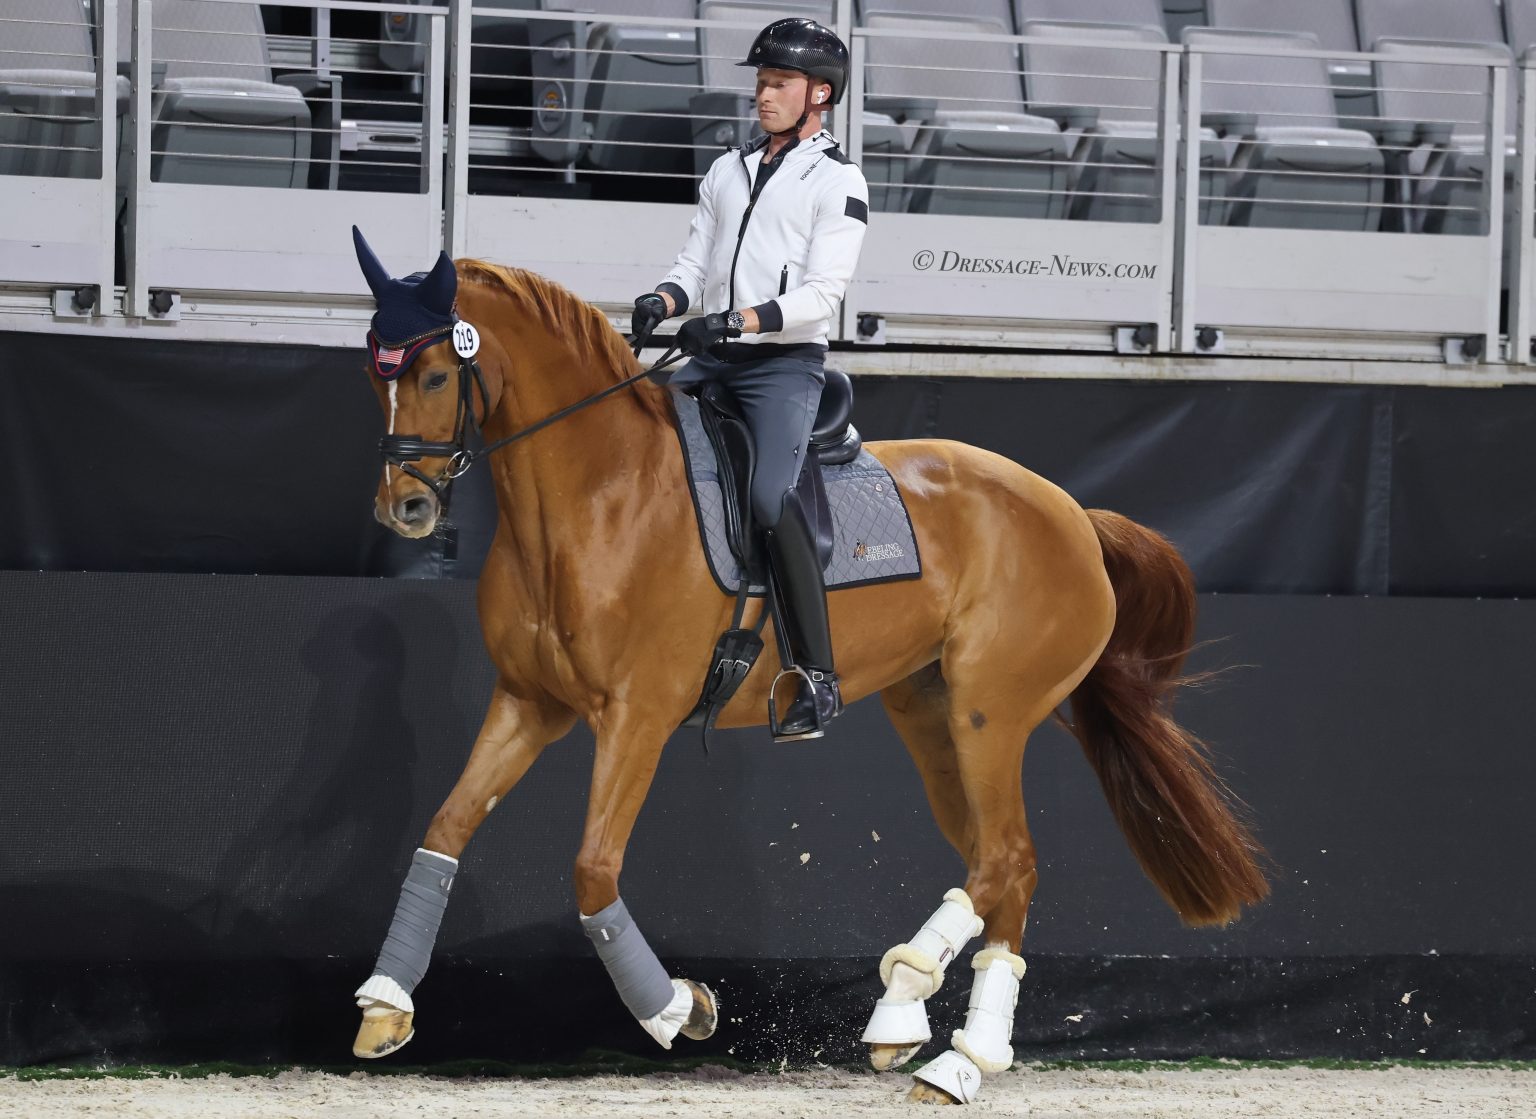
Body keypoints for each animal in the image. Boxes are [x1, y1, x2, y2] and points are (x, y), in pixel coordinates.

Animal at [349, 249, 1269, 1105]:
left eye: (436, 373)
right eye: (373, 370)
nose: (404, 508)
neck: (599, 494)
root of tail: (1075, 513)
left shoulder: (636, 716)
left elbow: (591, 870)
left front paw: (679, 1008)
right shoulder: (528, 703)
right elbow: (446, 826)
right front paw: (386, 1003)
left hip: (991, 713)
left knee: (1006, 855)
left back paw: (922, 1018)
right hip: (932, 713)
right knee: (1002, 865)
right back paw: (950, 1046)